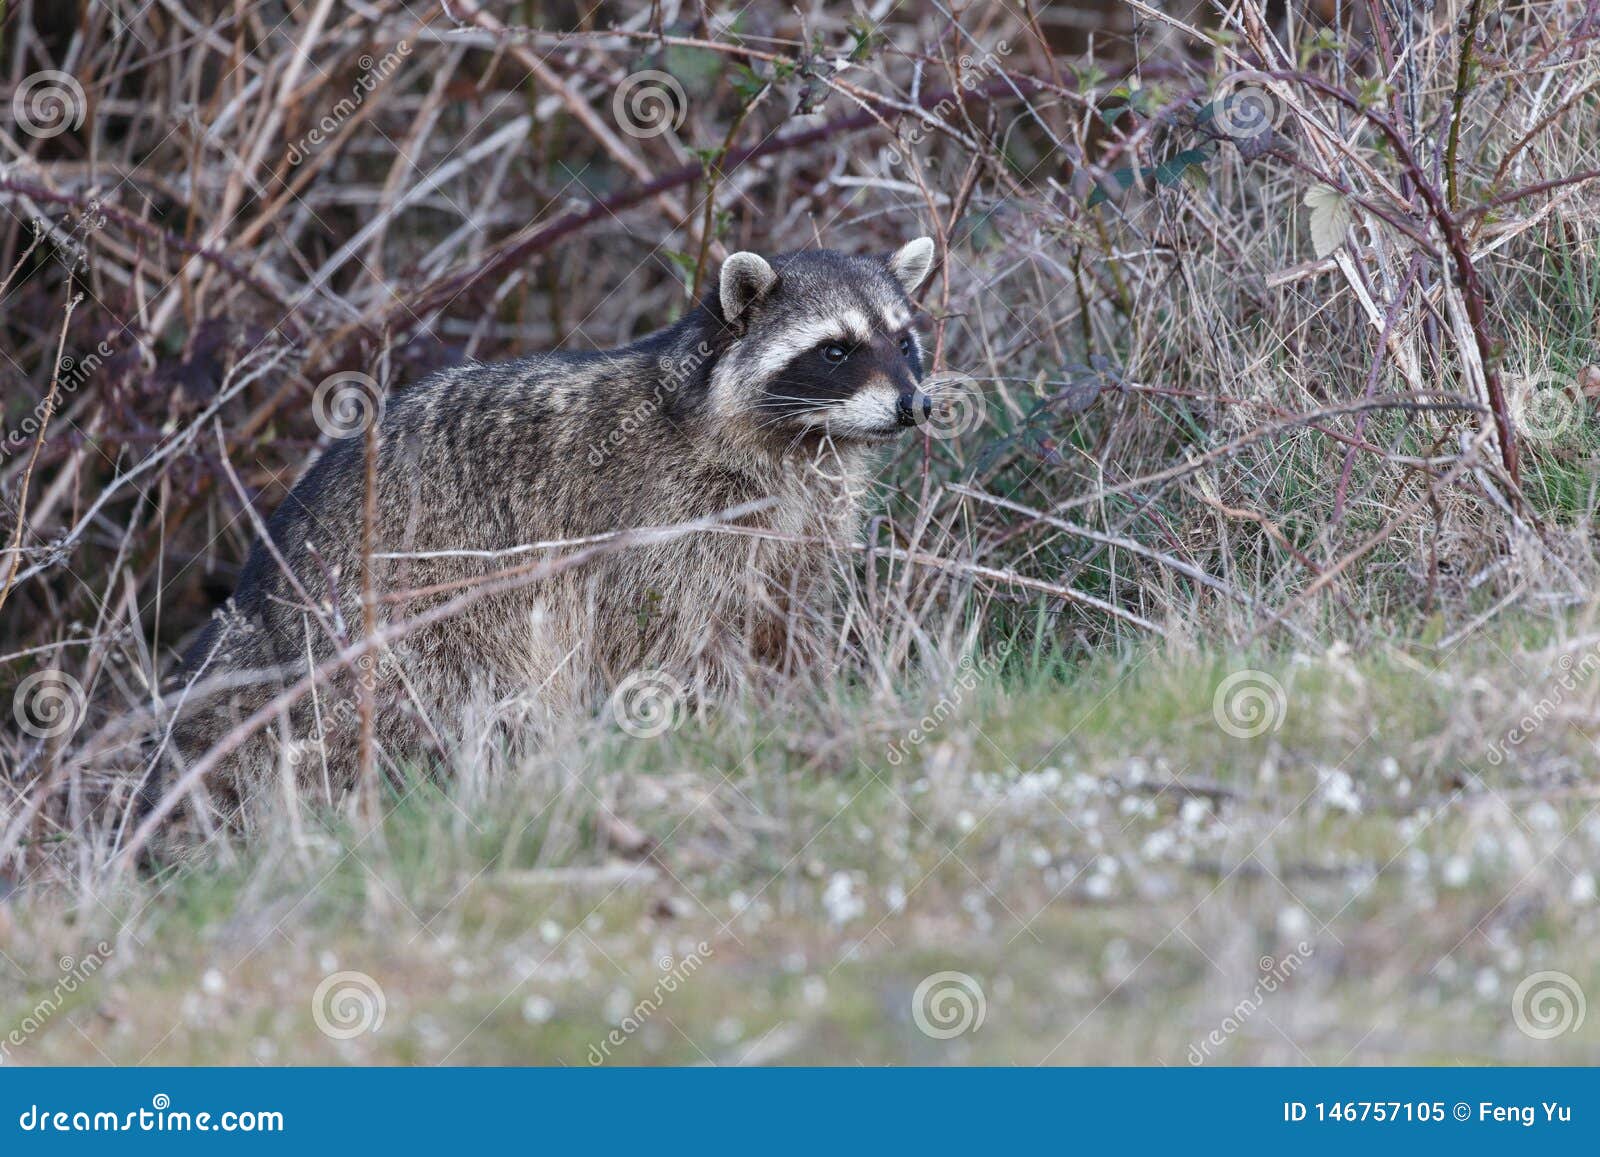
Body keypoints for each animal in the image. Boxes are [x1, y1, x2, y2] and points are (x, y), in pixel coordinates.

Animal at [168, 238, 937, 808]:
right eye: (836, 349)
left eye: (904, 341)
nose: (916, 405)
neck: (802, 440)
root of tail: (266, 600)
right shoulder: (667, 523)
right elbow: (665, 635)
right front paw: (713, 719)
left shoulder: (801, 522)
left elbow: (785, 612)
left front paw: (801, 695)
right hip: (408, 610)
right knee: (467, 682)